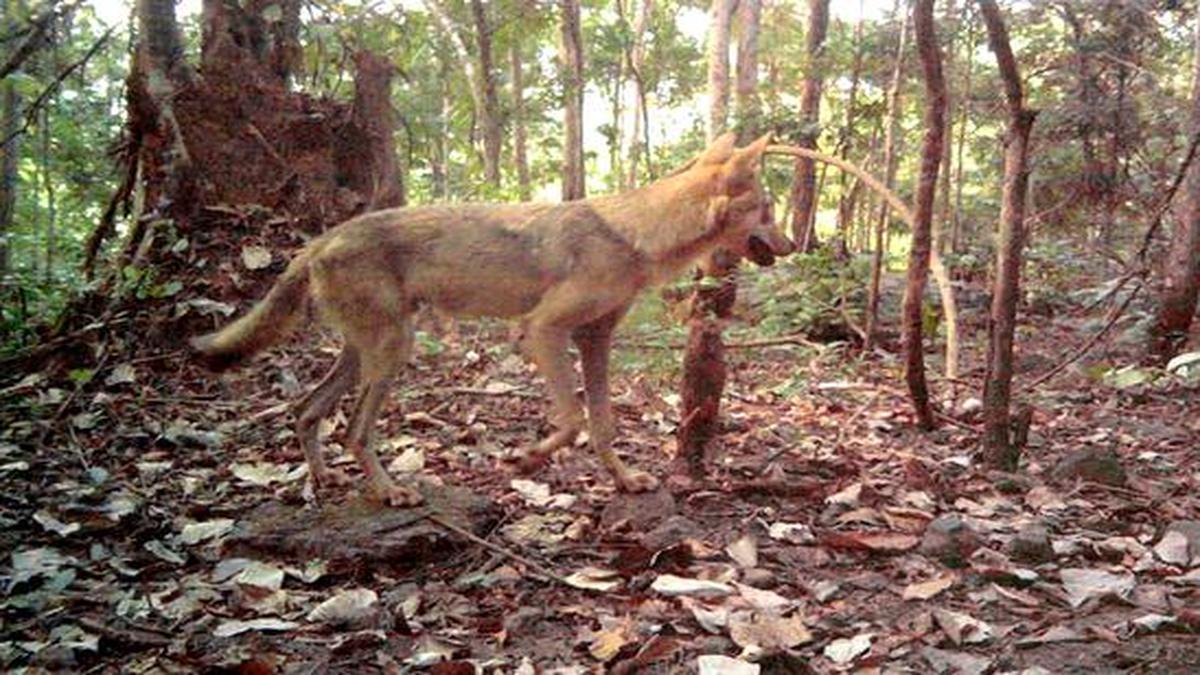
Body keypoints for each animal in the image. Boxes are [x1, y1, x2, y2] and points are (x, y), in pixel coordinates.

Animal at [191, 132, 793, 506]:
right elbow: (572, 420)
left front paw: (623, 479)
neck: (634, 234)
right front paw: (527, 459)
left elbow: (601, 425)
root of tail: (320, 239)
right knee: (354, 430)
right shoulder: (542, 331)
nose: (794, 245)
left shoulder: (594, 339)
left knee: (305, 411)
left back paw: (320, 482)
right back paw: (388, 492)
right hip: (392, 352)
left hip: (367, 352)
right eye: (769, 209)